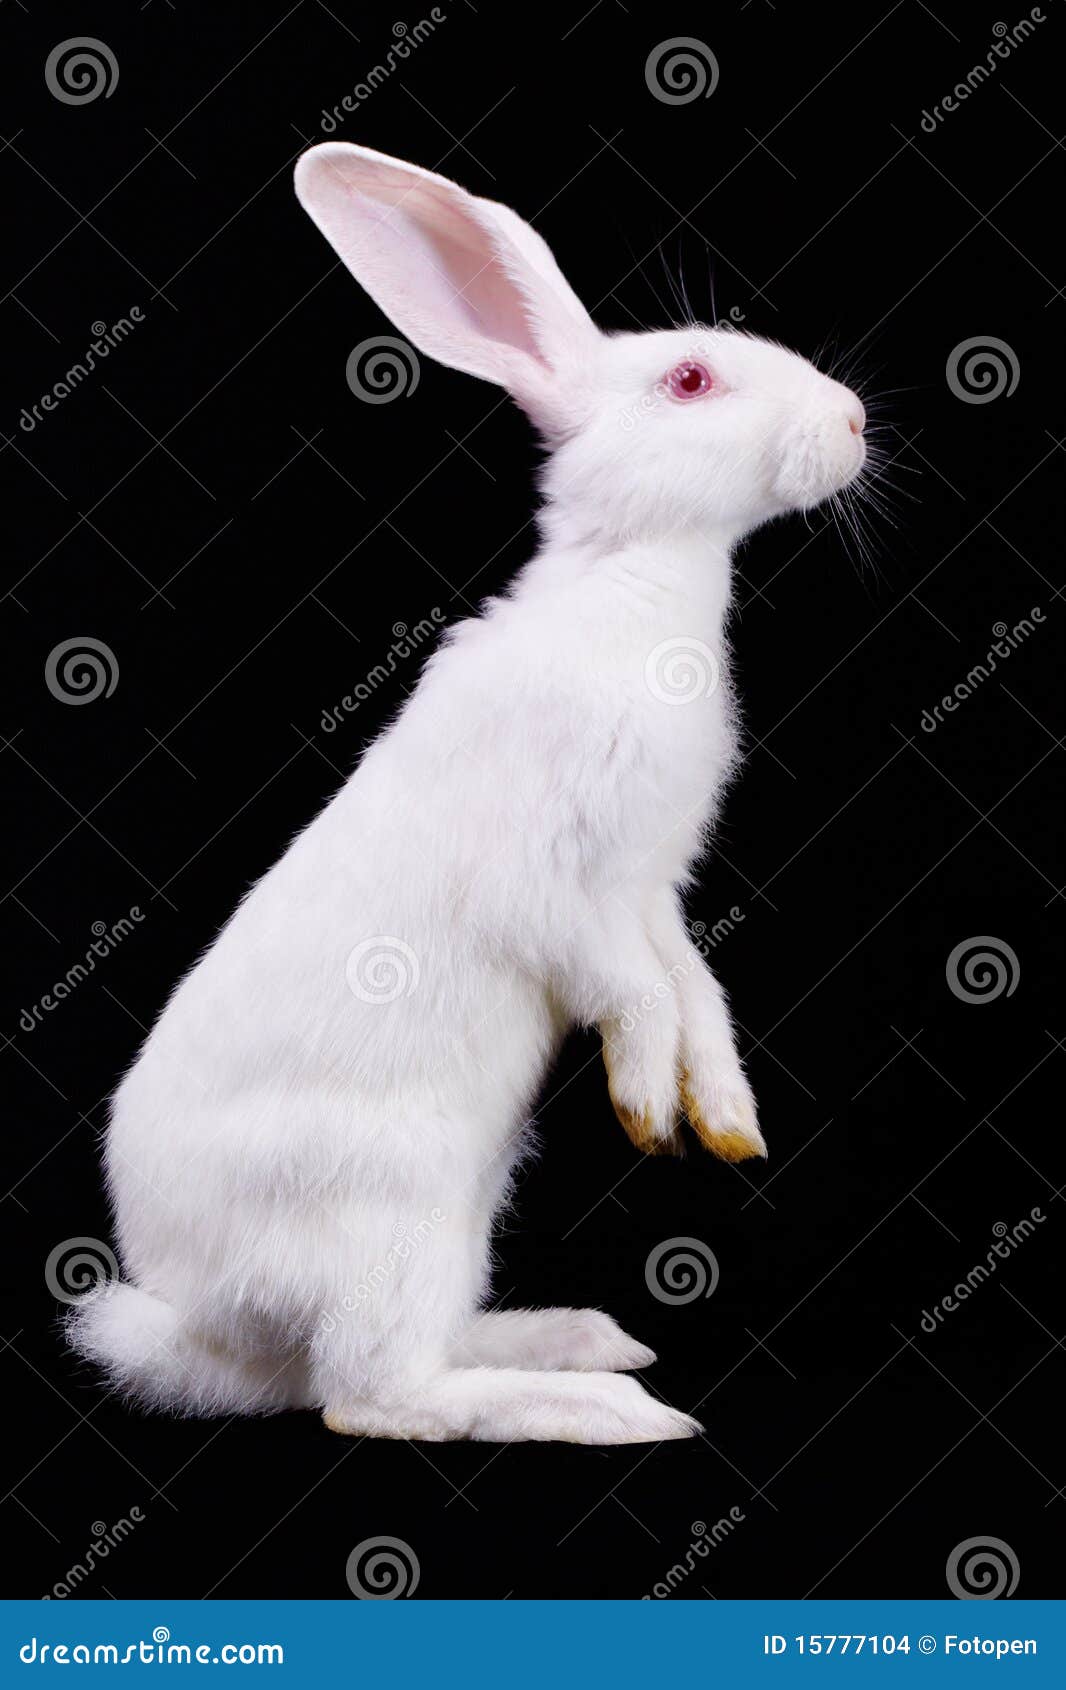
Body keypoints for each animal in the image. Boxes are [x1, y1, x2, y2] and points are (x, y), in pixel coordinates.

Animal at [67, 142, 867, 1445]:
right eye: (690, 379)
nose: (851, 421)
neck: (630, 586)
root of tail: (198, 1316)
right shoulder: (560, 885)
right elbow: (631, 993)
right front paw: (647, 1109)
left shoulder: (650, 889)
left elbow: (691, 989)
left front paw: (723, 1119)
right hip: (392, 1214)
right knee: (371, 1398)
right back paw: (608, 1407)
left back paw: (584, 1339)